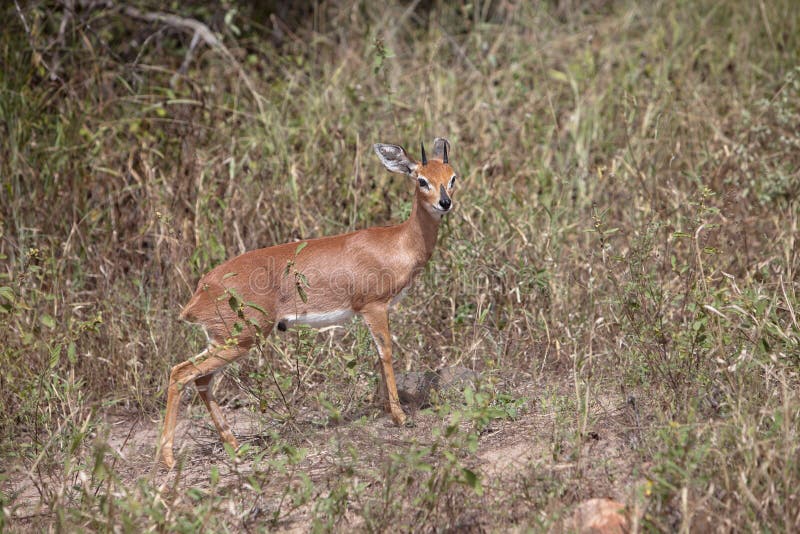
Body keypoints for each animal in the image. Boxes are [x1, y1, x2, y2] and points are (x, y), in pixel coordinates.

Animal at [159, 138, 458, 467]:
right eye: (422, 180)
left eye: (452, 177)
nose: (445, 203)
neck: (397, 243)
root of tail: (202, 289)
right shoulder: (374, 307)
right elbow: (387, 354)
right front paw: (400, 417)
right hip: (240, 340)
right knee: (180, 373)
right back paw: (169, 460)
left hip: (222, 340)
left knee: (199, 379)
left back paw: (234, 446)